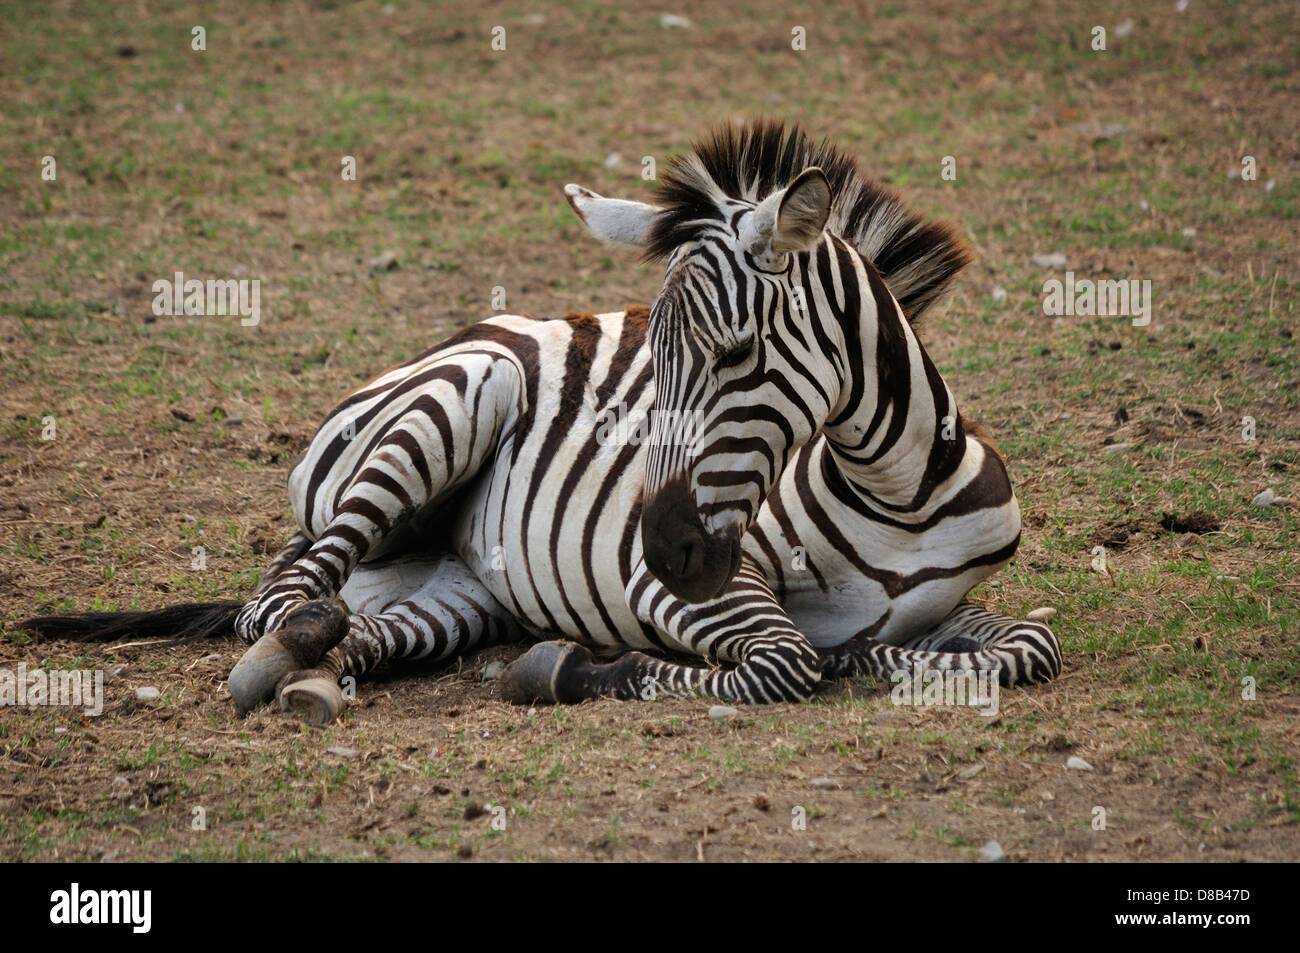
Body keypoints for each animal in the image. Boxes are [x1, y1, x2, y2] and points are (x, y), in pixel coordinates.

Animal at [21, 120, 1062, 723]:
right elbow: (785, 662)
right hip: (448, 405)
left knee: (361, 625)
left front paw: (881, 656)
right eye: (654, 361)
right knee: (286, 593)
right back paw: (283, 656)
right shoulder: (673, 591)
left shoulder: (954, 605)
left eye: (735, 355)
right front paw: (575, 670)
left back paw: (316, 676)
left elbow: (1024, 648)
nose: (665, 545)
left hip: (458, 591)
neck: (896, 500)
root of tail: (471, 329)